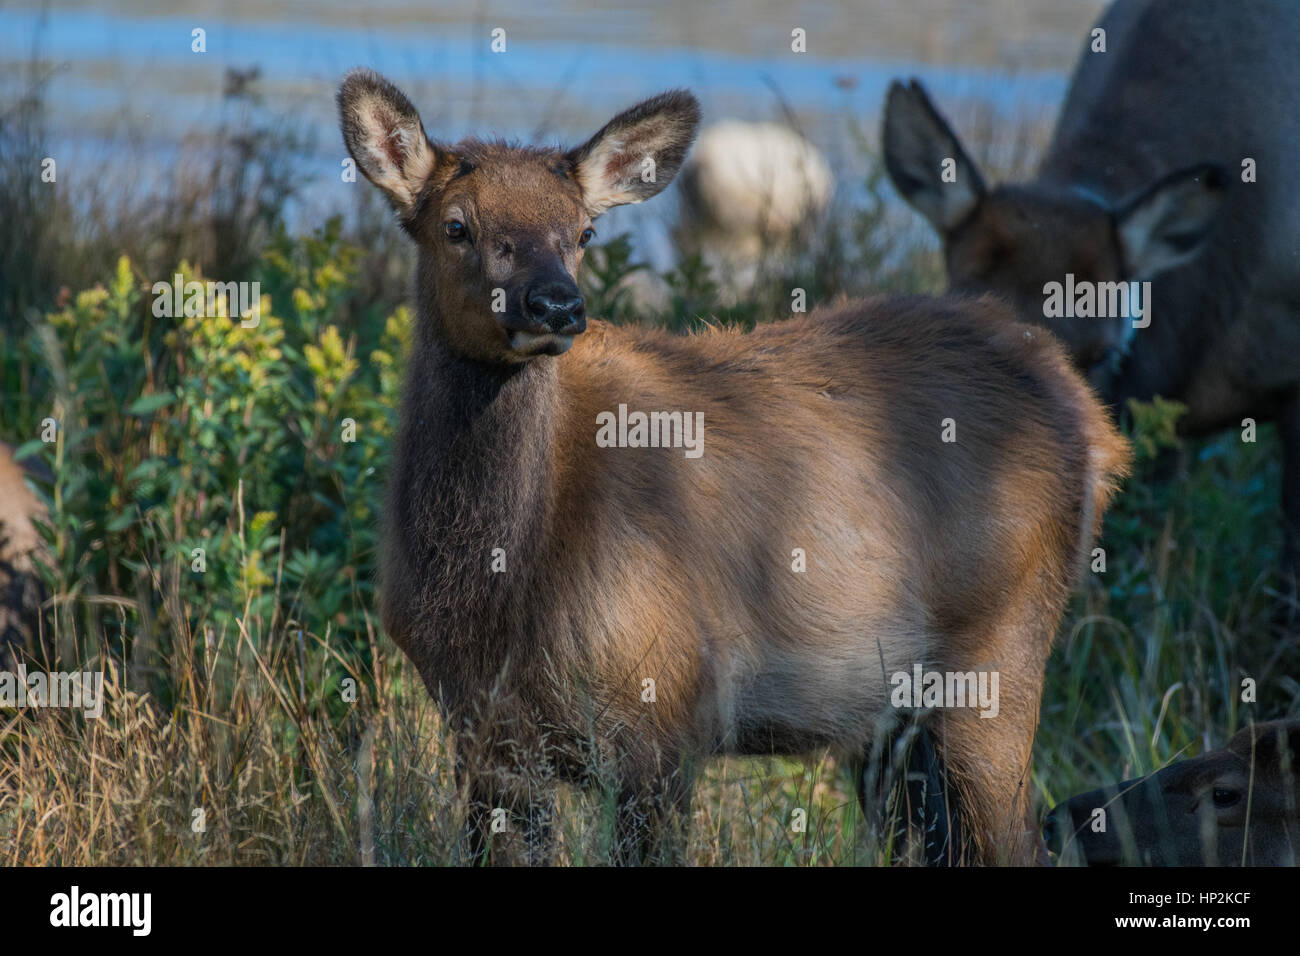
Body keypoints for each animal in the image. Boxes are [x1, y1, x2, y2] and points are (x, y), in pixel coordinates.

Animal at [337, 67, 1131, 865]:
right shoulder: (483, 735)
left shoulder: (662, 710)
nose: (556, 304)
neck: (499, 586)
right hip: (897, 720)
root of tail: (1094, 422)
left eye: (584, 231)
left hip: (1001, 653)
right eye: (456, 226)